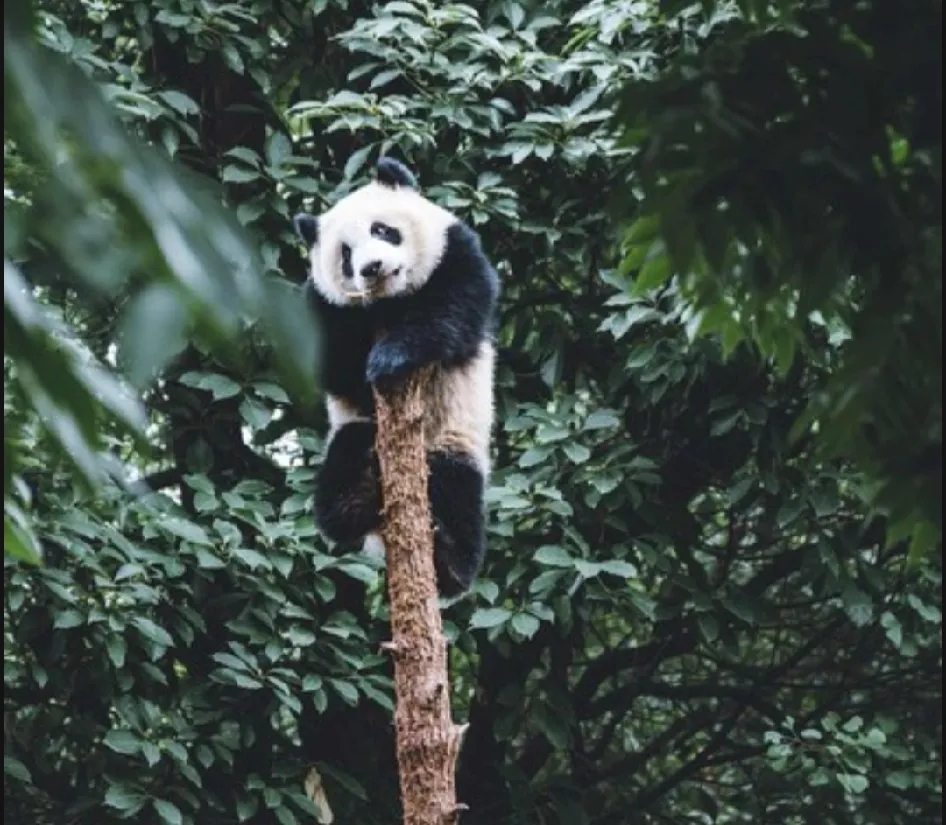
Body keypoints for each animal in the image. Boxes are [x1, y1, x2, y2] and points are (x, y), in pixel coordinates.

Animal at [293, 156, 501, 597]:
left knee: (457, 491)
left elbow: (449, 313)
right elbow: (335, 369)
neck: (389, 304)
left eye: (382, 229)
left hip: (453, 443)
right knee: (340, 478)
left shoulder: (454, 253)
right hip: (352, 432)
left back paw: (449, 561)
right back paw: (358, 495)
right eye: (345, 254)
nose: (372, 268)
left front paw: (390, 358)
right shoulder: (324, 305)